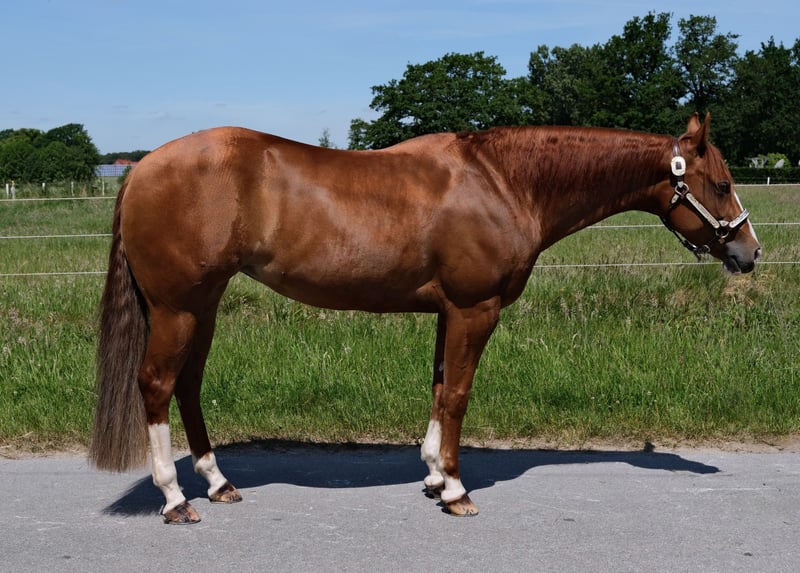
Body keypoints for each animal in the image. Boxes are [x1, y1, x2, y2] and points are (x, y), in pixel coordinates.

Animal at [89, 113, 760, 524]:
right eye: (721, 183)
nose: (748, 253)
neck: (503, 182)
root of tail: (142, 167)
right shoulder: (473, 308)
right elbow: (459, 394)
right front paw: (458, 491)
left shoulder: (447, 311)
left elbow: (439, 388)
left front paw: (436, 475)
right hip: (177, 307)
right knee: (157, 385)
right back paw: (175, 499)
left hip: (203, 305)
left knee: (189, 385)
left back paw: (218, 482)